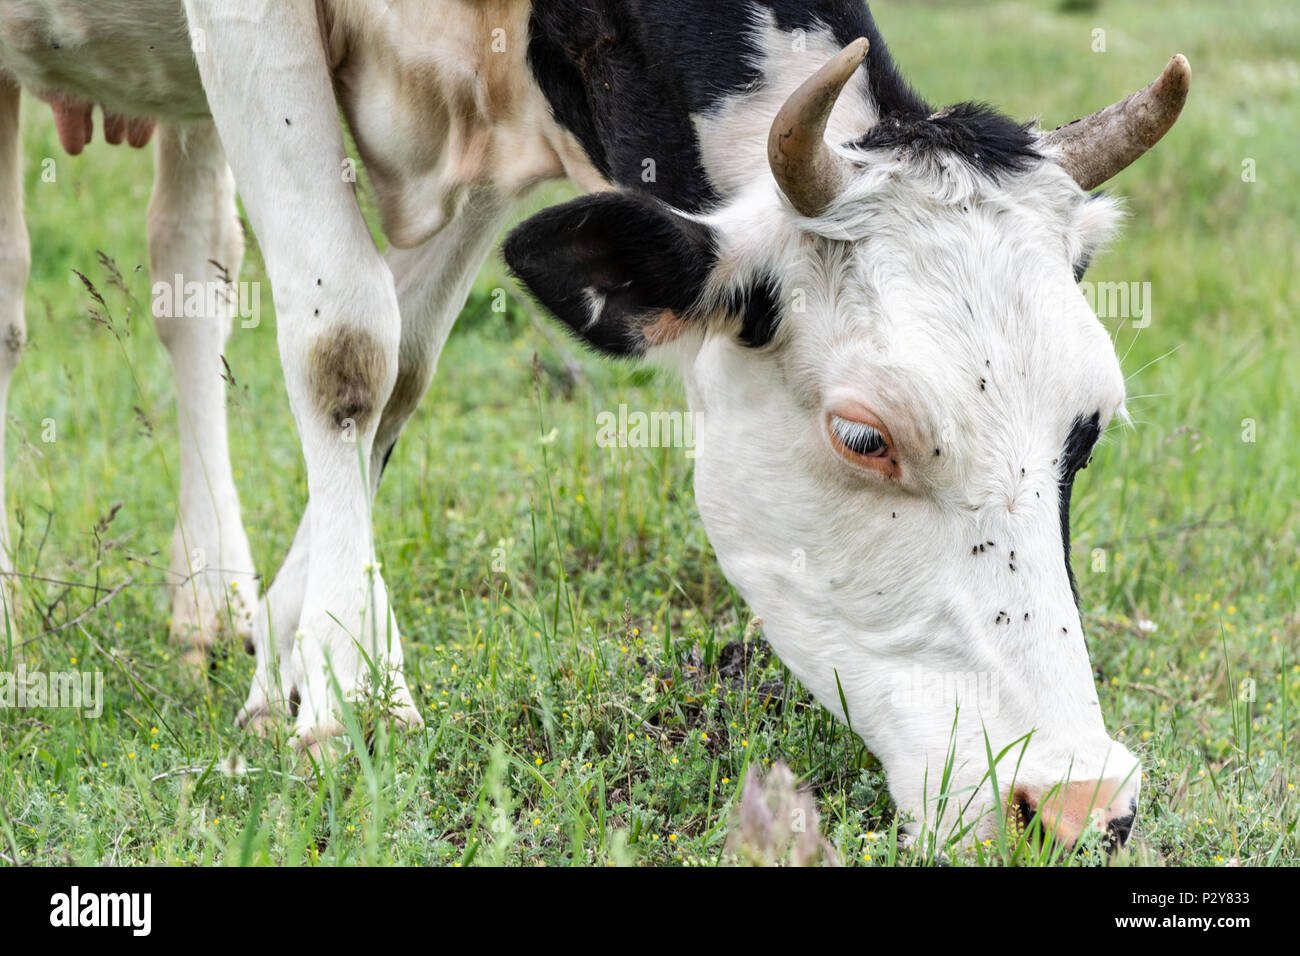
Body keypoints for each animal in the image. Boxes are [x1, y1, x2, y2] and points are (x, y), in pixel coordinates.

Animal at [0, 0, 1188, 849]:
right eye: (864, 436)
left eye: (1087, 428)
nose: (1079, 804)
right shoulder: (251, 22)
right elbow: (347, 346)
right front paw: (355, 694)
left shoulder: (512, 114)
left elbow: (404, 368)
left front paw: (287, 654)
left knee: (189, 271)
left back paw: (210, 601)